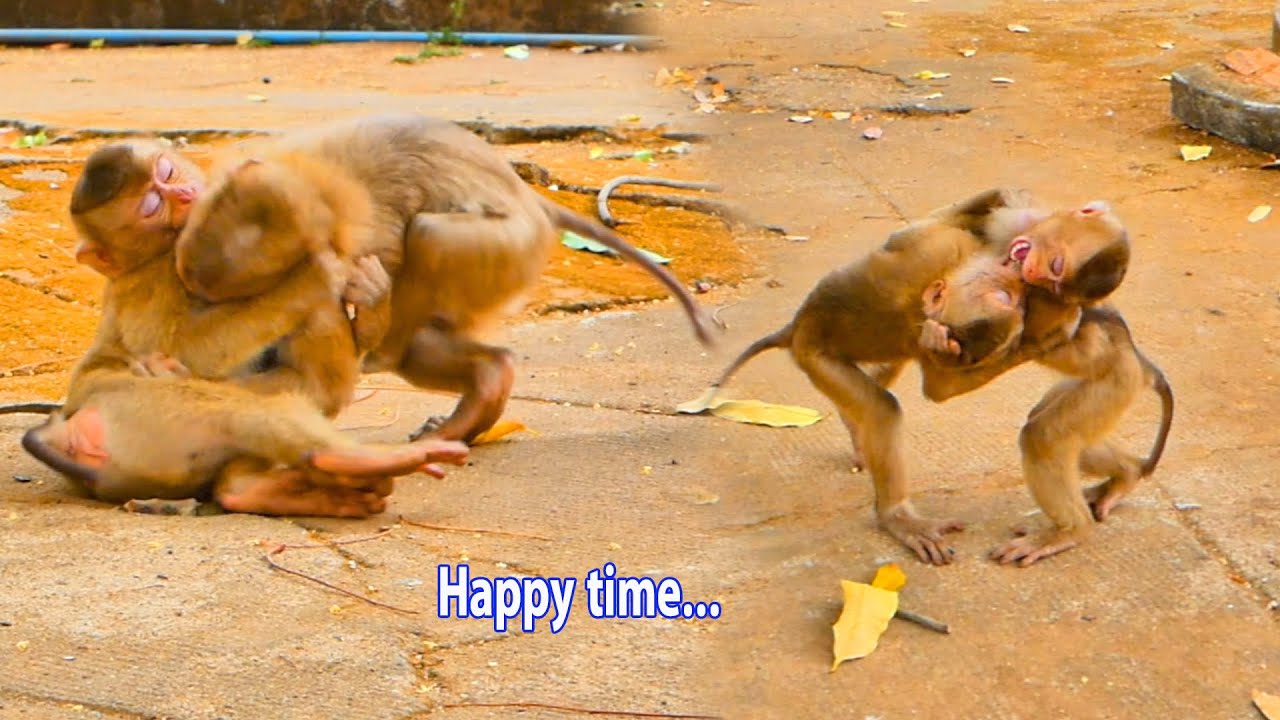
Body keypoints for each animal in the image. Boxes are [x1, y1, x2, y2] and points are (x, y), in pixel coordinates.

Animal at [172, 113, 719, 445]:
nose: (189, 283)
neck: (317, 184)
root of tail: (531, 199)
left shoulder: (354, 249)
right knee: (431, 344)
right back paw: (488, 381)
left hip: (509, 250)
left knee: (431, 238)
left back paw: (390, 353)